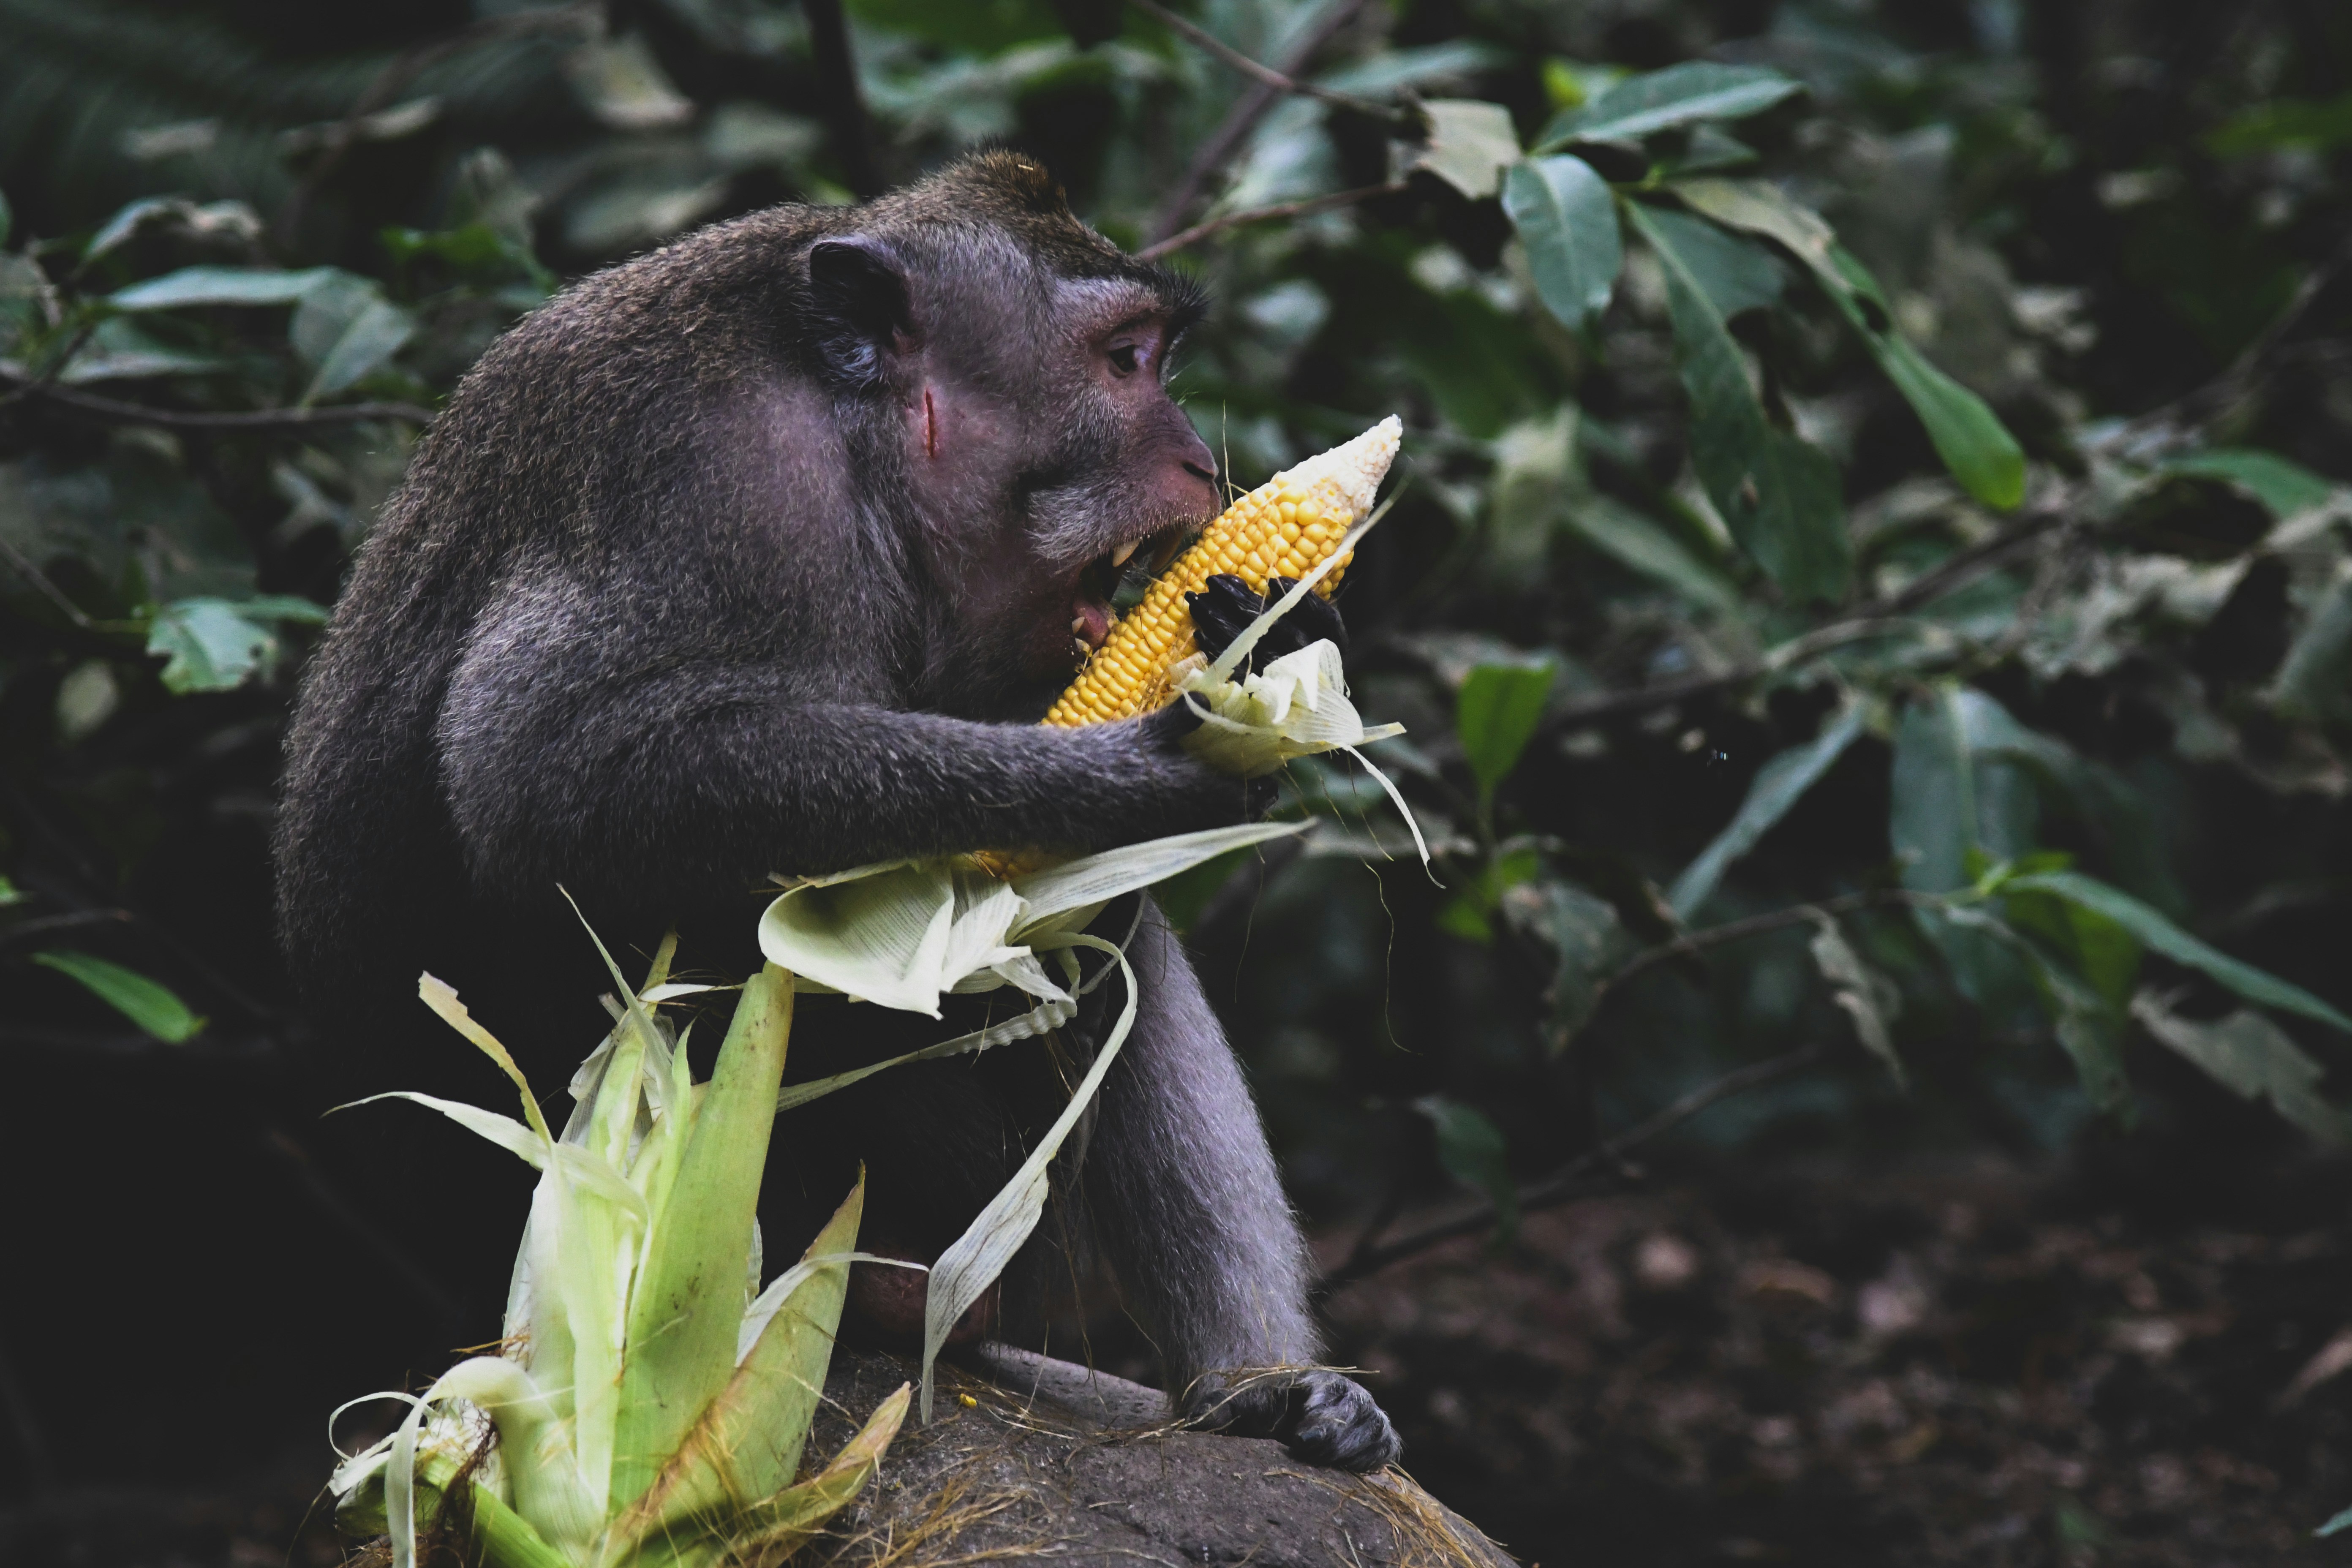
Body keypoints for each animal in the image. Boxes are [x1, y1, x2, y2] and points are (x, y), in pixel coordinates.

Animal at [275, 151, 1398, 1472]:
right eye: (1127, 360)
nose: (1197, 464)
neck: (856, 442)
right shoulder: (719, 482)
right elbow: (549, 773)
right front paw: (1128, 777)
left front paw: (1279, 634)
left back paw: (1260, 1387)